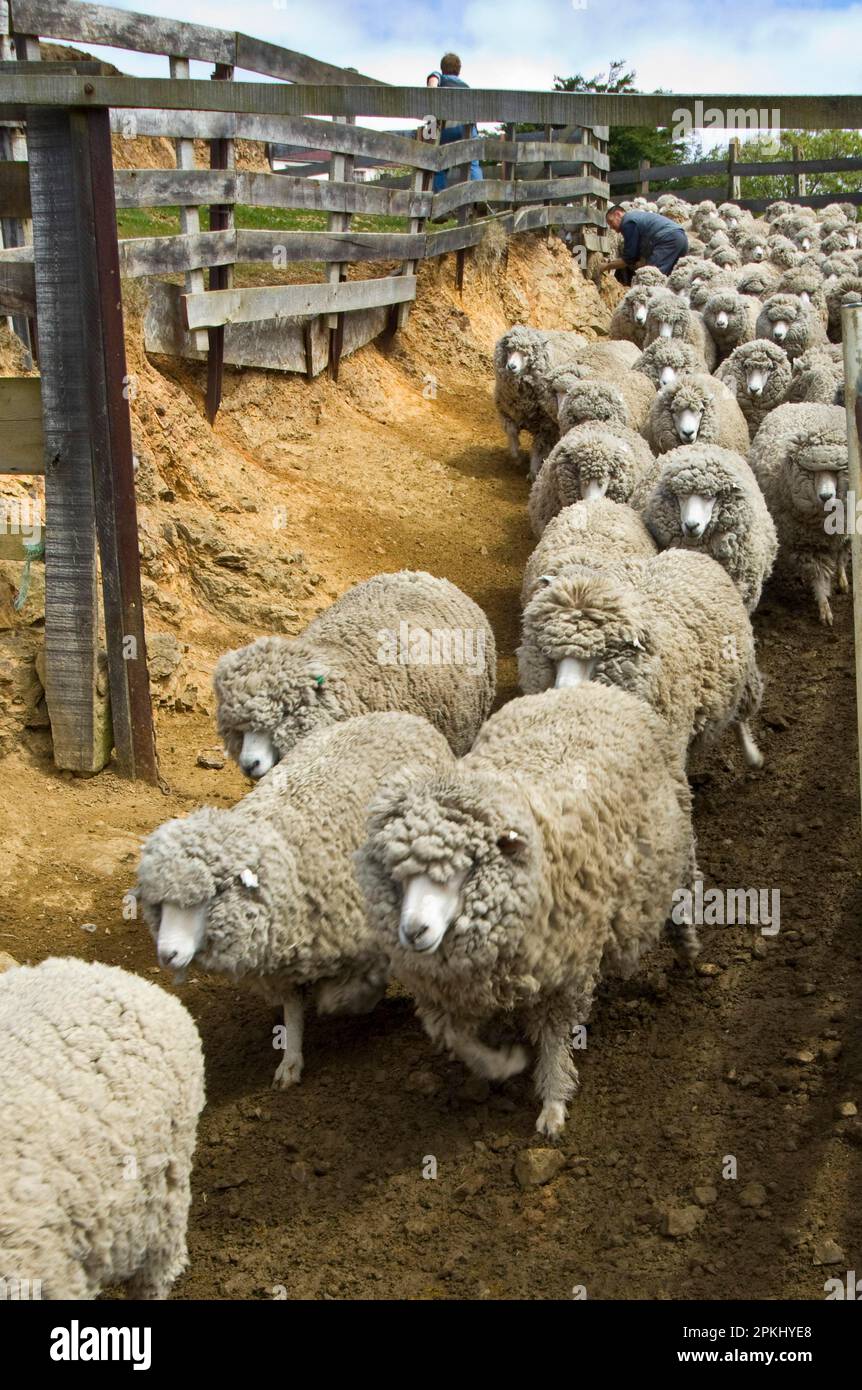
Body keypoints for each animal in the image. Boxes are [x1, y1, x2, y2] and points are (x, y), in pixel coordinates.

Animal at [138, 712, 454, 1089]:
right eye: (159, 905)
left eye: (211, 895)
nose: (167, 955)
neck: (283, 857)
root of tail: (401, 717)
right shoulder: (281, 961)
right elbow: (292, 1011)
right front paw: (290, 1061)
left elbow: (339, 995)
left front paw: (356, 998)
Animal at [356, 683, 698, 1138]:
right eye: (398, 873)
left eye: (464, 869)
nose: (414, 932)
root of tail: (588, 688)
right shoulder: (450, 992)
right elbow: (459, 1039)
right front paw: (504, 1064)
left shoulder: (565, 970)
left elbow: (554, 1038)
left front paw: (553, 1102)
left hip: (680, 842)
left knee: (684, 898)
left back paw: (690, 951)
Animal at [493, 325, 587, 469]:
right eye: (509, 350)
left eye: (526, 354)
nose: (511, 366)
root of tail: (574, 334)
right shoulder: (507, 413)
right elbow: (512, 433)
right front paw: (516, 457)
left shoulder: (546, 427)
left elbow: (538, 450)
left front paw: (533, 470)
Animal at [517, 548, 764, 770]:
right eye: (549, 651)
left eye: (598, 654)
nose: (564, 691)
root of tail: (691, 552)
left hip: (744, 678)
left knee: (742, 717)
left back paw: (753, 756)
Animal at [749, 402, 850, 624]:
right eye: (812, 471)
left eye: (837, 471)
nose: (826, 496)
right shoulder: (807, 543)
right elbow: (819, 576)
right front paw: (824, 608)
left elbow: (840, 556)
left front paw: (841, 580)